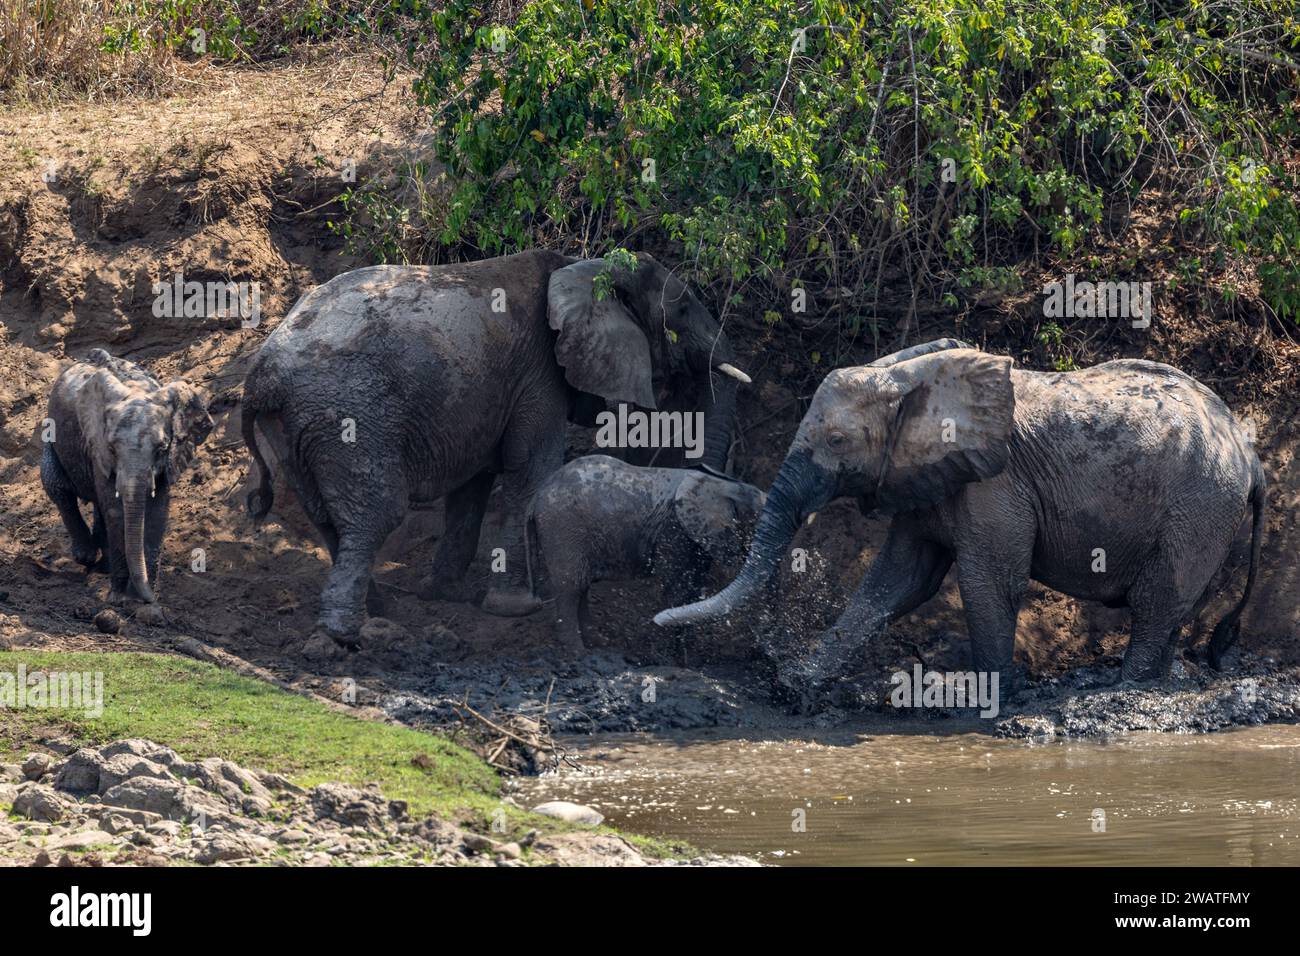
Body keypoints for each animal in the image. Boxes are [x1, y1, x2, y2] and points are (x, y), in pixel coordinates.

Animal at [40, 349, 212, 609]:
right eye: (112, 448)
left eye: (162, 449)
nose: (154, 600)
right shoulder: (96, 447)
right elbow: (115, 510)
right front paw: (120, 599)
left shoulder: (167, 462)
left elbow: (157, 511)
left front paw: (142, 599)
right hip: (52, 438)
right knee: (57, 486)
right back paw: (87, 557)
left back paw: (103, 566)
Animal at [525, 455, 766, 652]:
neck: (725, 485)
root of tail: (536, 496)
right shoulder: (675, 529)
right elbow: (676, 589)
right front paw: (674, 660)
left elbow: (693, 588)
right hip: (563, 529)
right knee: (571, 586)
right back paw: (577, 652)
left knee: (581, 585)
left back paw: (597, 643)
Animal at [655, 338, 1266, 703]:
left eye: (837, 442)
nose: (658, 619)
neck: (907, 378)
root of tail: (1250, 451)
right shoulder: (925, 476)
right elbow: (898, 580)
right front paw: (799, 684)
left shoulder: (994, 481)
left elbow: (986, 581)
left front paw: (991, 700)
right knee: (1169, 605)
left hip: (1201, 503)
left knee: (1158, 598)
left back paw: (1123, 691)